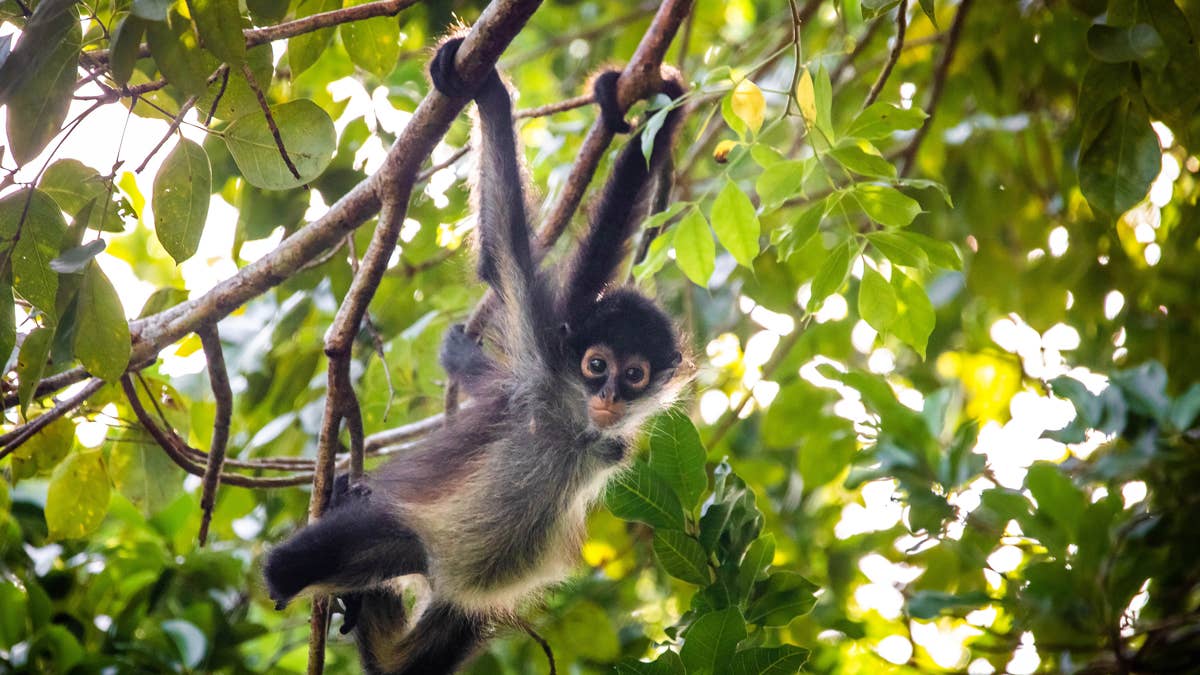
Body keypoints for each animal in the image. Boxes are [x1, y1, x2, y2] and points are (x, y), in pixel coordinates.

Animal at [263, 37, 690, 675]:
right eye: (597, 366)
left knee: (405, 665)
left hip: (455, 603)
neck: (576, 428)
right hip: (403, 533)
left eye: (634, 375)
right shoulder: (543, 360)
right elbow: (502, 249)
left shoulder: (602, 431)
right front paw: (488, 93)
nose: (611, 395)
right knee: (284, 571)